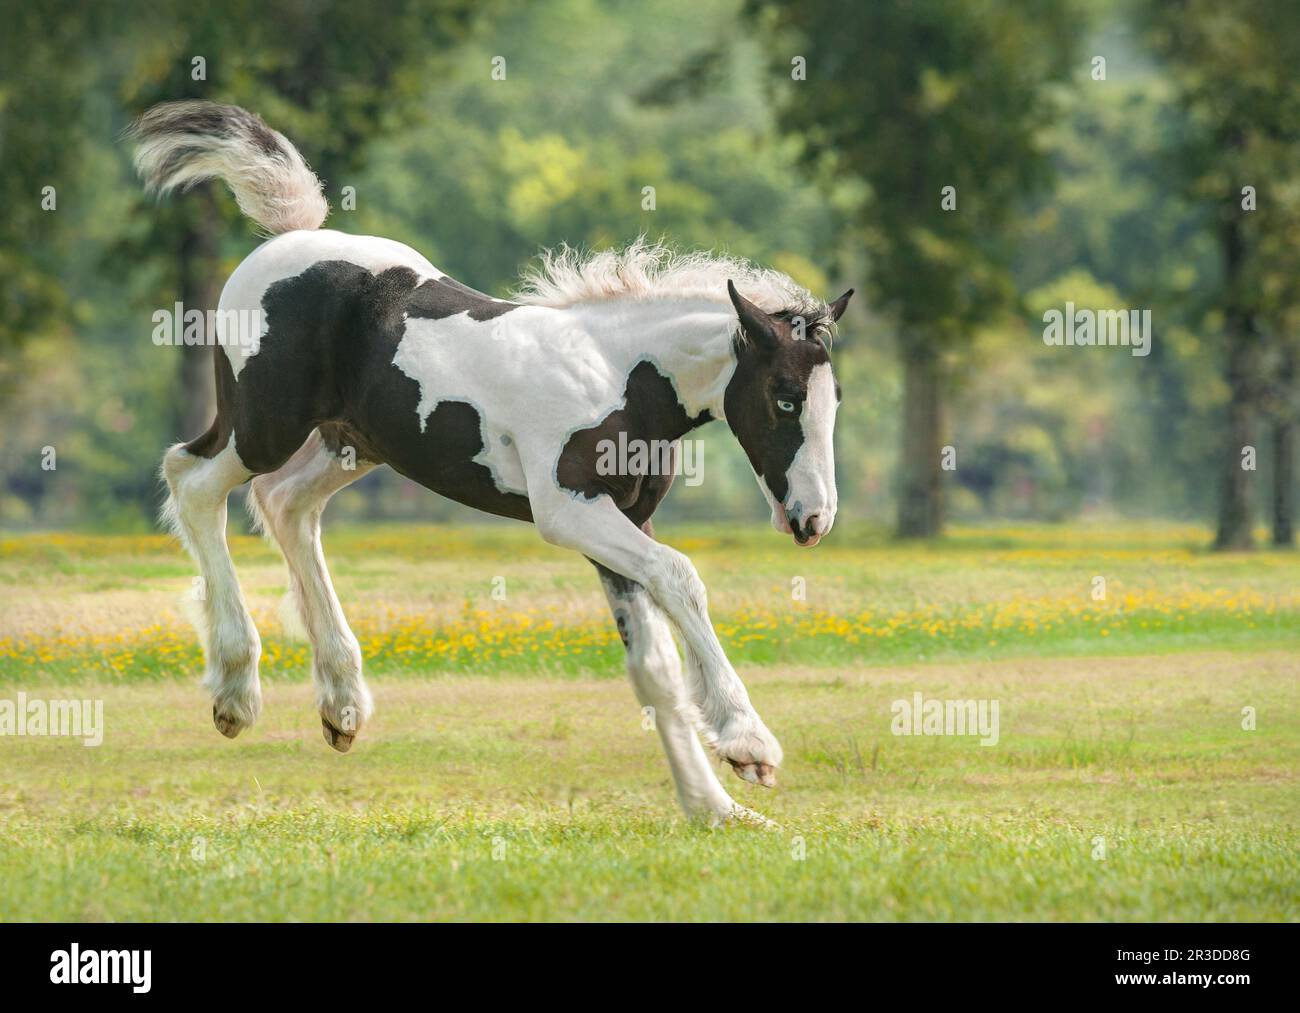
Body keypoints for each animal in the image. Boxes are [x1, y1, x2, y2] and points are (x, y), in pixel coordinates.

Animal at [130, 101, 852, 825]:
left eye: (835, 398)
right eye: (786, 398)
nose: (813, 519)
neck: (616, 374)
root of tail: (291, 237)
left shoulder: (624, 521)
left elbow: (655, 670)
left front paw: (716, 807)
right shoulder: (571, 511)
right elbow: (681, 576)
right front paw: (747, 741)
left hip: (352, 442)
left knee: (287, 504)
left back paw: (341, 703)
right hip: (263, 426)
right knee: (192, 480)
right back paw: (235, 689)